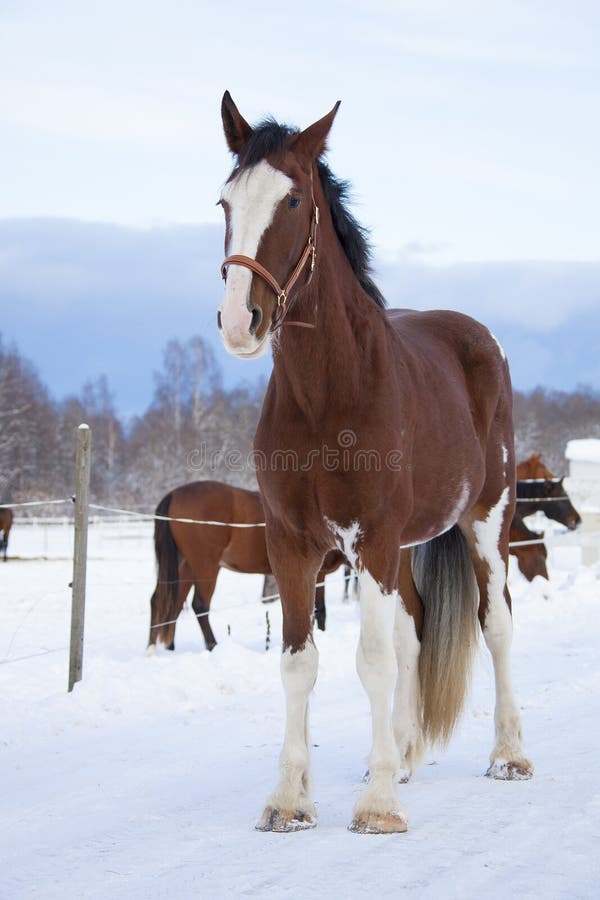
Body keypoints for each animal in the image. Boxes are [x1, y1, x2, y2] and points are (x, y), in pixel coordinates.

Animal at [147, 480, 346, 652]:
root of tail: (173, 495)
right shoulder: (317, 574)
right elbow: (319, 611)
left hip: (186, 567)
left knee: (167, 603)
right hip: (205, 566)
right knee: (199, 605)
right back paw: (212, 645)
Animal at [216, 93, 533, 834]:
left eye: (294, 200)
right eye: (225, 201)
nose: (241, 322)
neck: (329, 395)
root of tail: (479, 337)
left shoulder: (373, 540)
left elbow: (374, 661)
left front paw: (380, 806)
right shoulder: (292, 544)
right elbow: (300, 663)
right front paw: (289, 800)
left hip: (486, 523)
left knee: (496, 624)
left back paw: (508, 756)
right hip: (407, 547)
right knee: (416, 632)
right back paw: (405, 754)